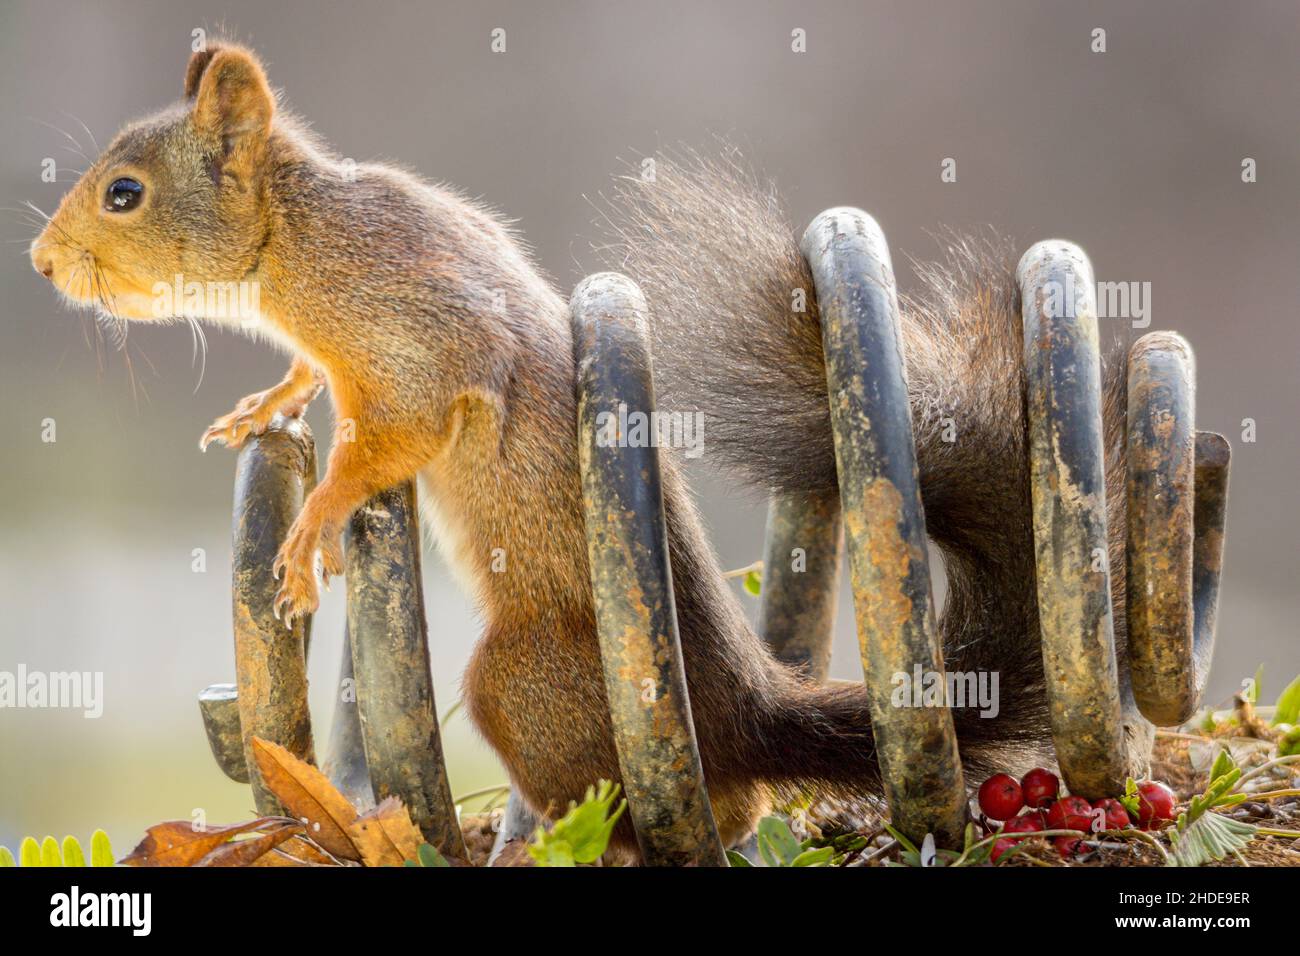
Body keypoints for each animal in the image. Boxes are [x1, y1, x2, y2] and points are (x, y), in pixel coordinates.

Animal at [31, 42, 1154, 856]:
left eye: (125, 192)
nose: (41, 262)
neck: (295, 233)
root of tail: (736, 707)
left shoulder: (415, 338)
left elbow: (389, 440)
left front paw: (311, 527)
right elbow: (314, 380)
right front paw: (270, 401)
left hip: (528, 681)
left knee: (683, 812)